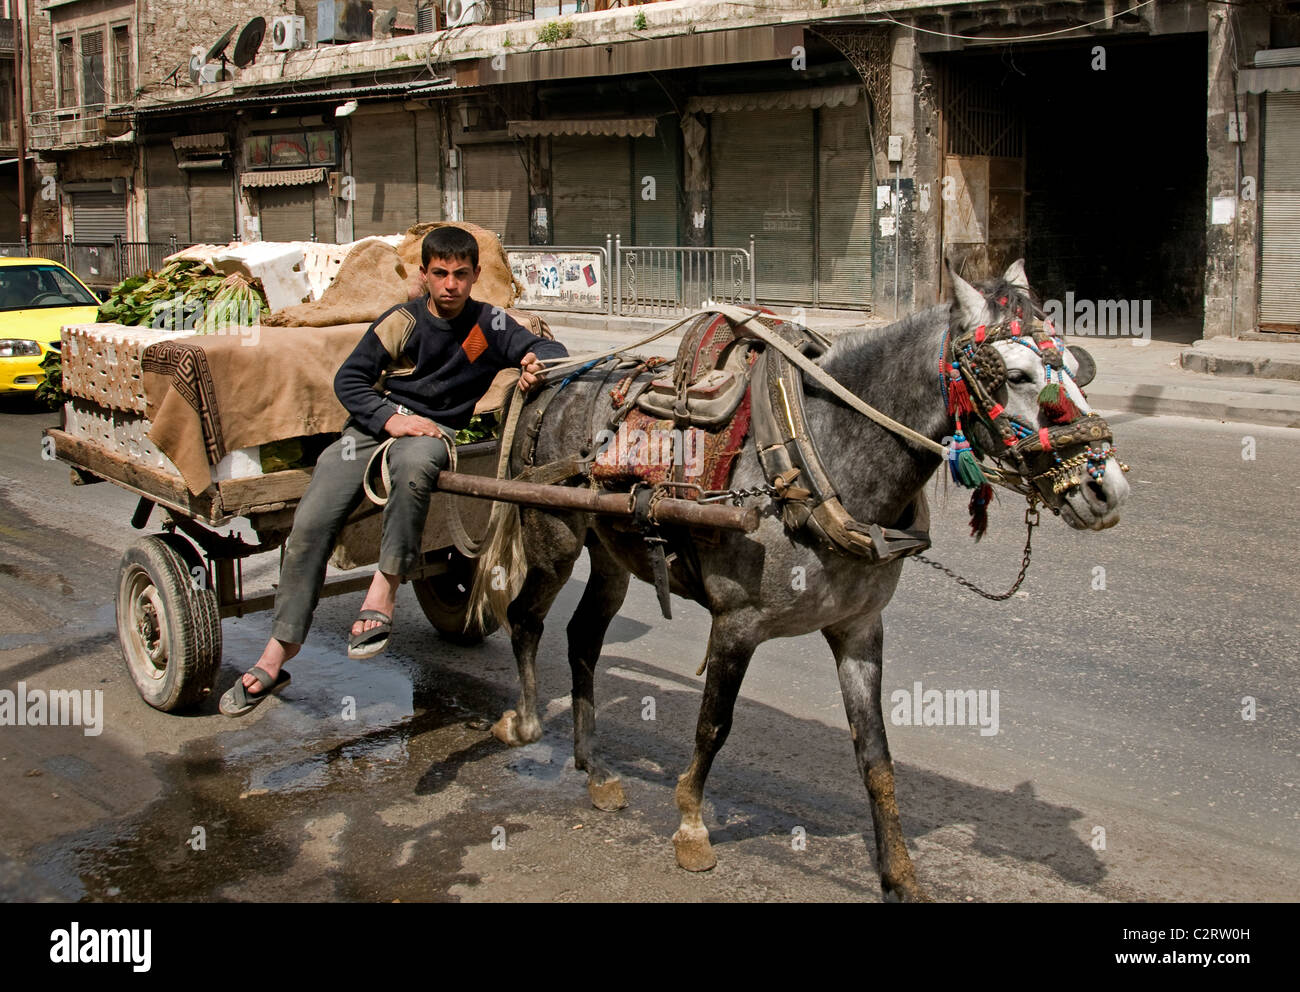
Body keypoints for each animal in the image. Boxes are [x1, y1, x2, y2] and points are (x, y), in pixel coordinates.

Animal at [473, 260, 1131, 901]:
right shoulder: (736, 624)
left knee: (583, 637)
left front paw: (900, 873)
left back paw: (595, 769)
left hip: (611, 552)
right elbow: (714, 725)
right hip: (555, 537)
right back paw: (526, 722)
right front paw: (691, 826)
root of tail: (552, 379)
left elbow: (875, 754)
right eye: (1016, 375)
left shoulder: (859, 629)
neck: (812, 457)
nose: (1106, 489)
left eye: (1075, 367)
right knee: (526, 618)